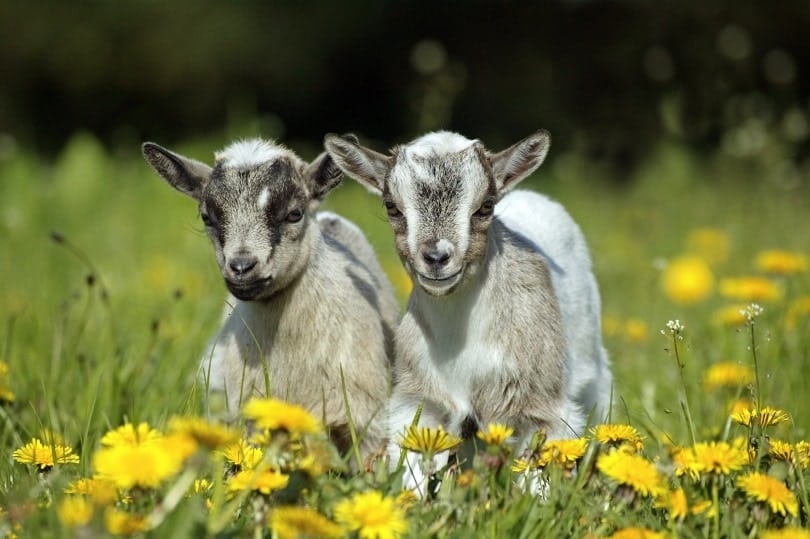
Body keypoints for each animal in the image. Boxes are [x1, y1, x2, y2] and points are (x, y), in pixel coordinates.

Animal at [324, 130, 611, 491]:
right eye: (391, 206)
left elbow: (536, 476)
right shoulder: (420, 398)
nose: (436, 257)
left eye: (486, 206)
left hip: (592, 372)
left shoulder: (542, 406)